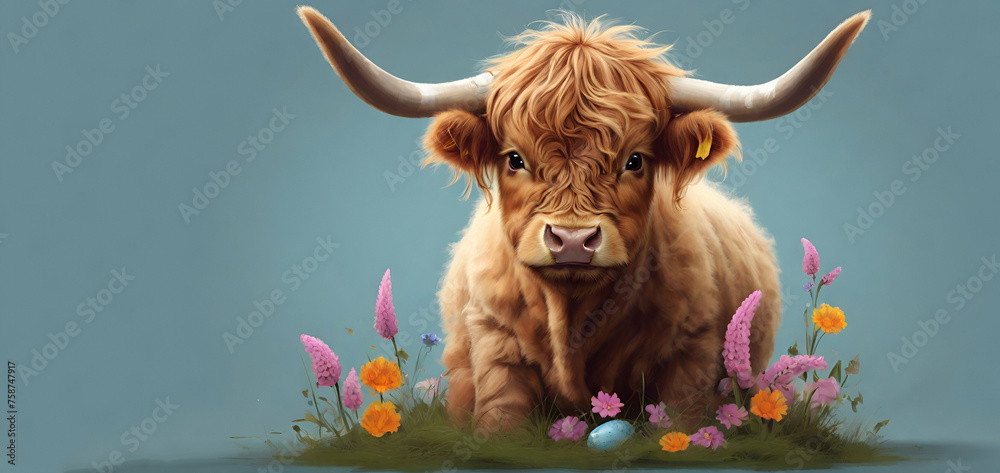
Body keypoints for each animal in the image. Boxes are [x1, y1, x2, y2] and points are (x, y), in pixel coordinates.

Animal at [297, 7, 870, 433]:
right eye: (514, 158)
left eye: (635, 160)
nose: (572, 240)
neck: (571, 314)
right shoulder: (494, 346)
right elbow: (500, 423)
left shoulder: (694, 353)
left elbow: (684, 426)